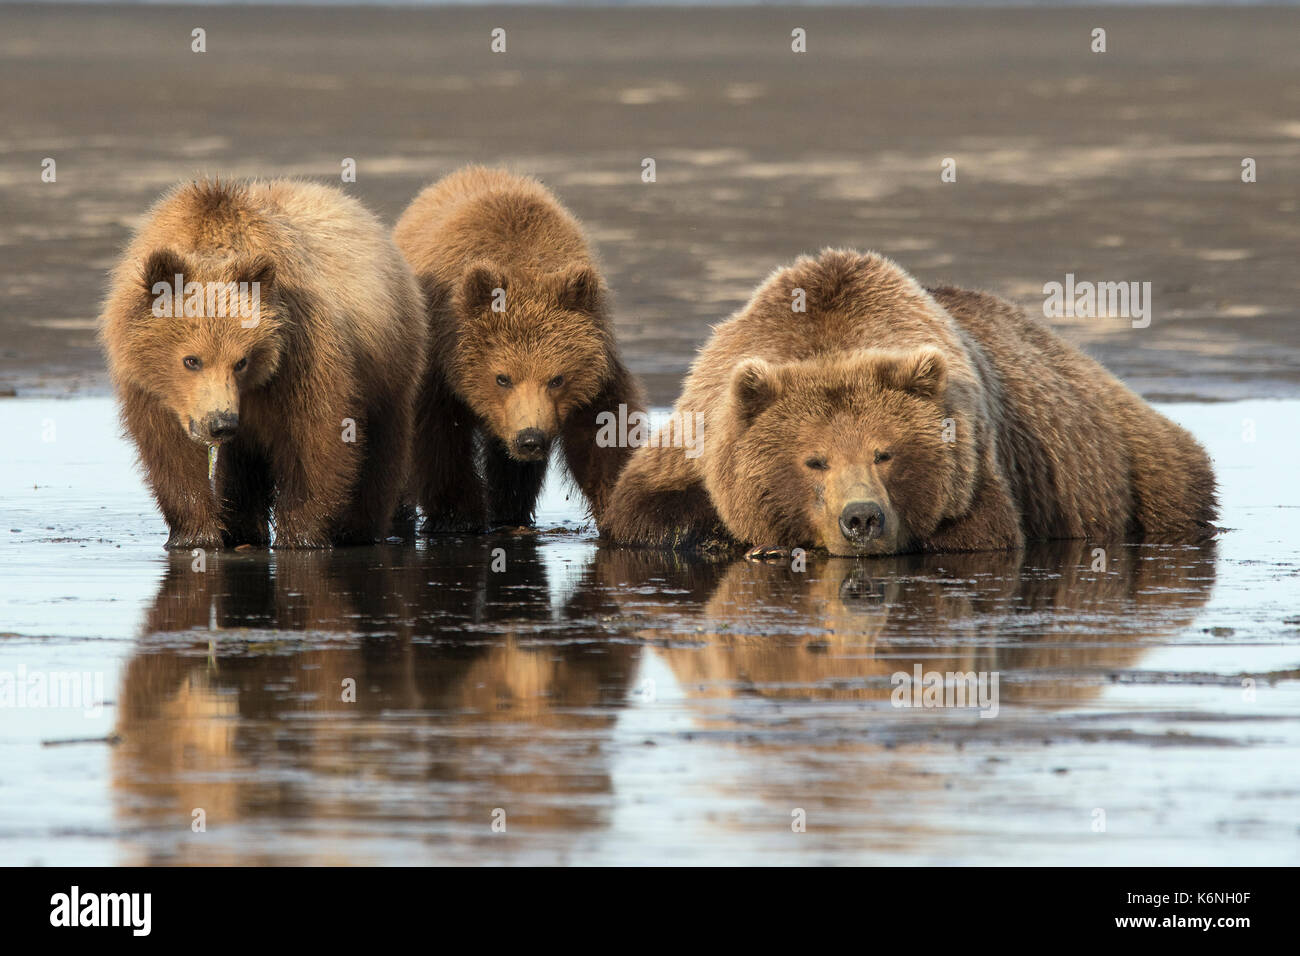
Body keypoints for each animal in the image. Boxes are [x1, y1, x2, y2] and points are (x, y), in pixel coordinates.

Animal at [99, 178, 427, 550]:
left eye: (241, 361)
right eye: (191, 360)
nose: (220, 423)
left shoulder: (299, 348)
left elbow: (316, 435)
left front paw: (301, 537)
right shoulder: (152, 387)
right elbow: (170, 453)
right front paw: (194, 535)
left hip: (387, 365)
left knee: (382, 446)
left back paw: (360, 529)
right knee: (241, 463)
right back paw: (242, 528)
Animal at [392, 166, 644, 532]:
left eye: (557, 379)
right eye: (502, 378)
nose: (530, 438)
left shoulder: (596, 361)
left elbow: (602, 432)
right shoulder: (441, 361)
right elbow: (438, 443)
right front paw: (459, 517)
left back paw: (512, 509)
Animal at [602, 248, 1218, 557]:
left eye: (886, 453)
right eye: (814, 460)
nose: (861, 518)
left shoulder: (972, 459)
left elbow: (979, 536)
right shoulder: (695, 433)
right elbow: (641, 515)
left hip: (1123, 468)